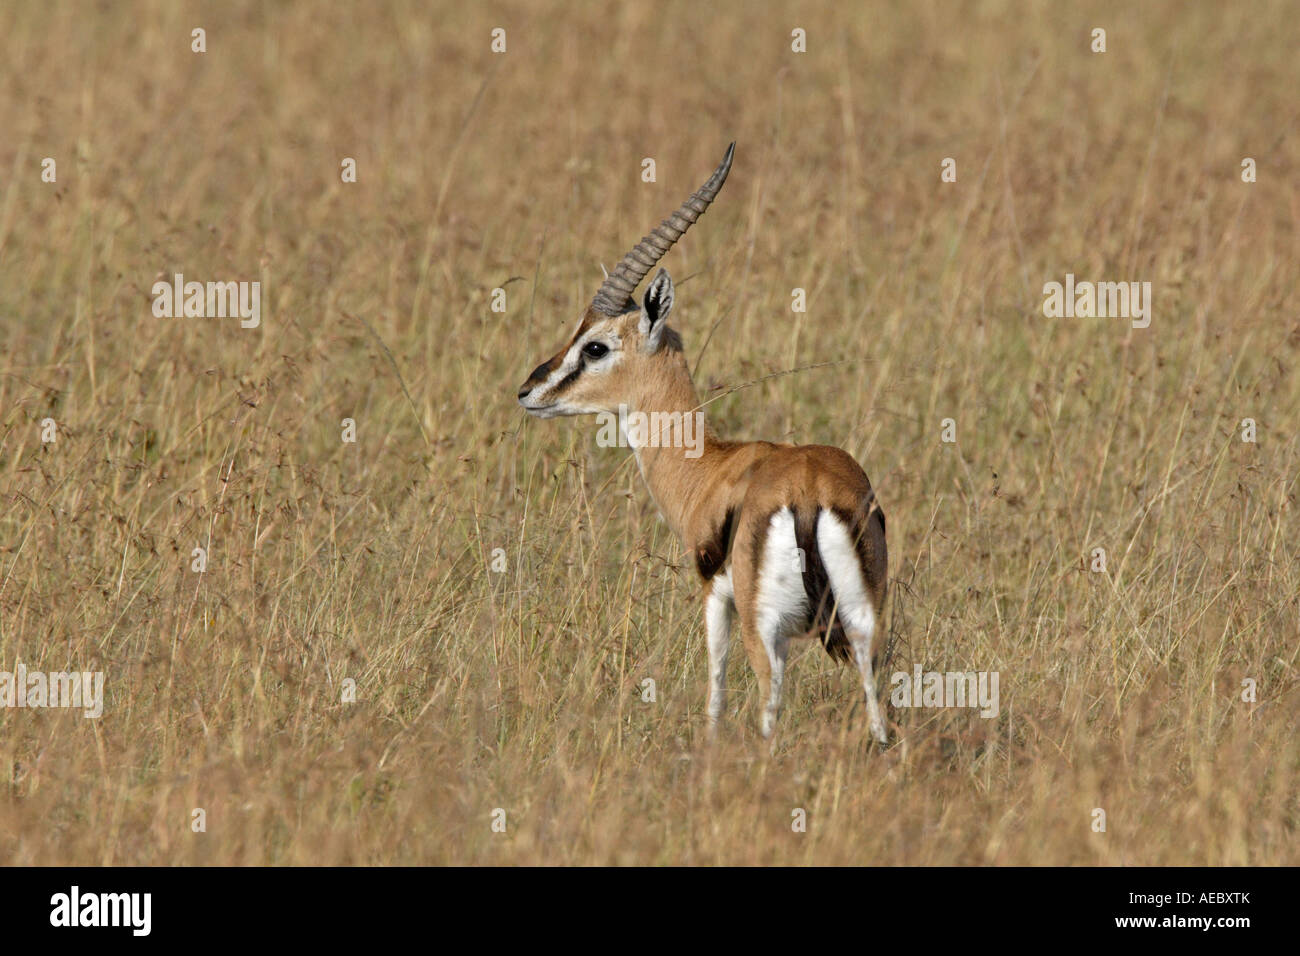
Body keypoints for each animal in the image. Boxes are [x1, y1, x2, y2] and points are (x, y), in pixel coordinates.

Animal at [517, 144, 889, 744]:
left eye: (595, 347)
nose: (528, 392)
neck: (714, 467)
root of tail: (809, 494)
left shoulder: (715, 596)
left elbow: (715, 687)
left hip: (769, 633)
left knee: (768, 705)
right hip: (866, 624)